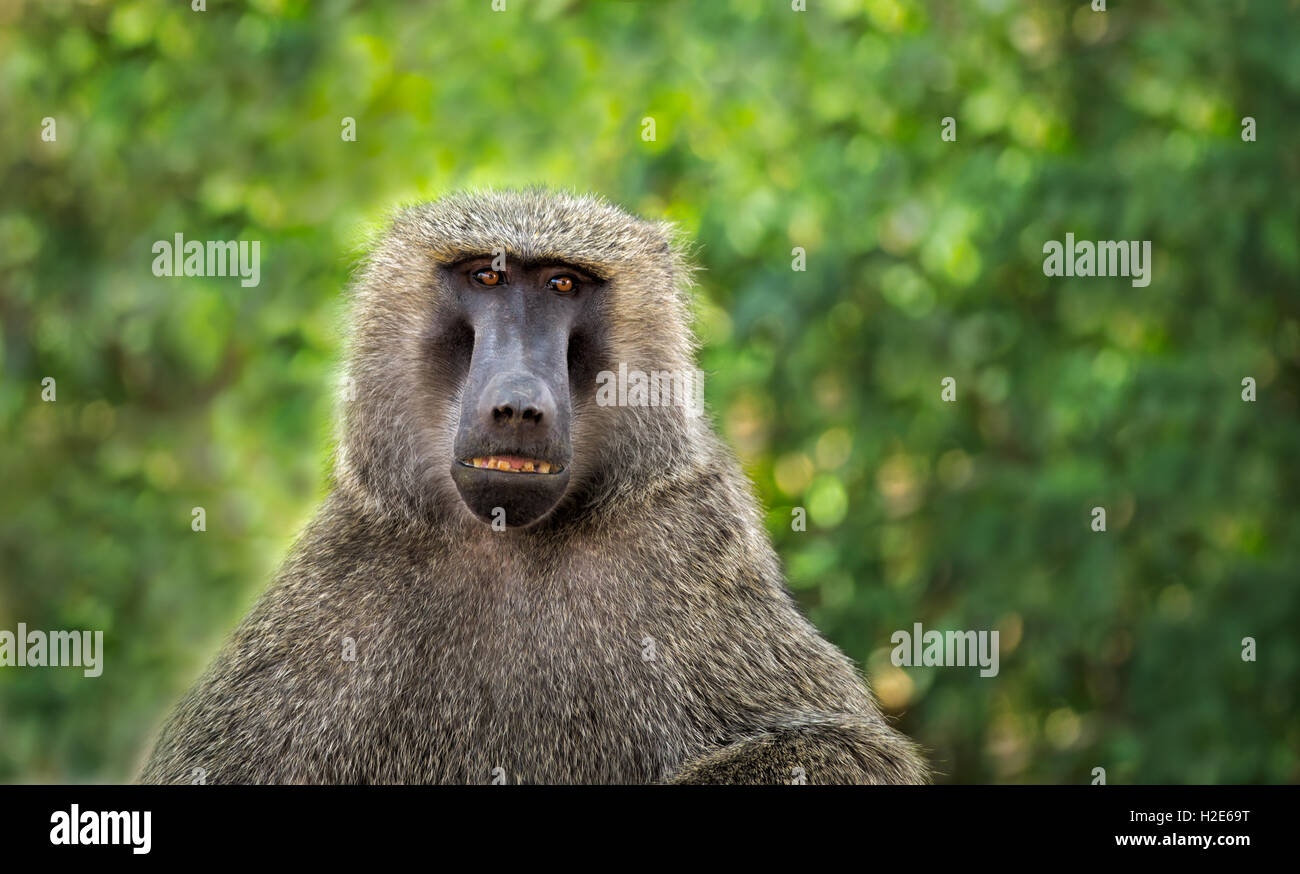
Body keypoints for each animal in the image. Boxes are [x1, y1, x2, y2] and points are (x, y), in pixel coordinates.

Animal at [139, 188, 928, 785]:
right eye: (484, 278)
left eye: (561, 284)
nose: (517, 405)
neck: (505, 542)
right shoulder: (344, 570)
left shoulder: (685, 531)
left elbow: (842, 748)